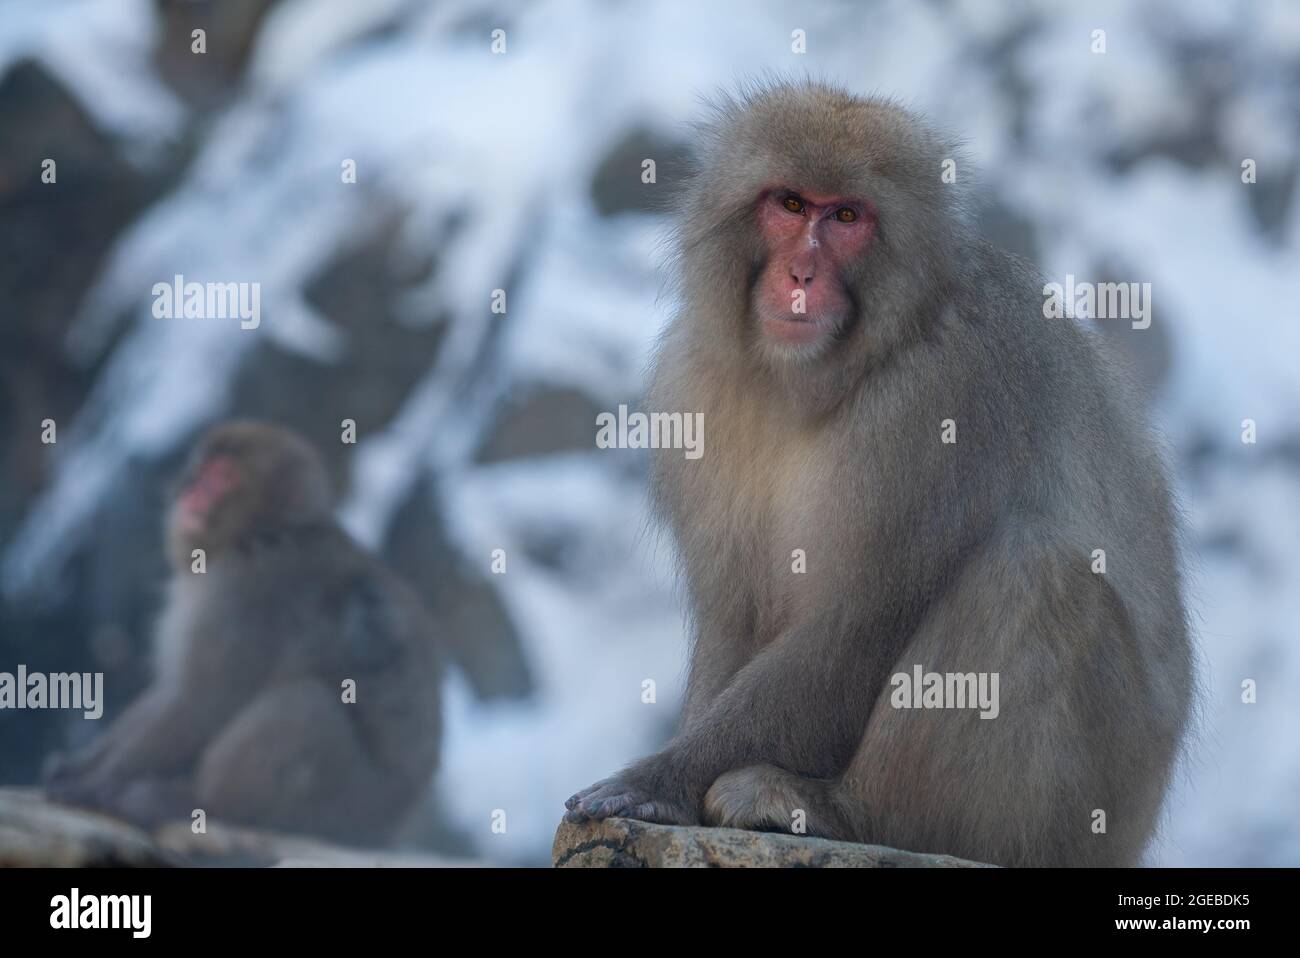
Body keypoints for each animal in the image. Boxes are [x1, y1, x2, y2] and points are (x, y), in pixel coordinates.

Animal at [44, 420, 443, 846]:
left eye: (224, 477)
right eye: (203, 470)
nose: (190, 491)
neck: (260, 533)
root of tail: (387, 832)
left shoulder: (246, 593)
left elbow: (202, 702)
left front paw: (94, 784)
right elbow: (169, 692)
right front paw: (81, 765)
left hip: (340, 807)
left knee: (305, 704)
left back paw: (185, 802)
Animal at [565, 81, 1192, 867]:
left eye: (847, 217)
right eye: (791, 204)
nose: (801, 274)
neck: (814, 380)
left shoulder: (941, 394)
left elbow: (859, 620)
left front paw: (657, 780)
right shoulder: (694, 391)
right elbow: (734, 613)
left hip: (1089, 811)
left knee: (1037, 578)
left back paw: (839, 809)